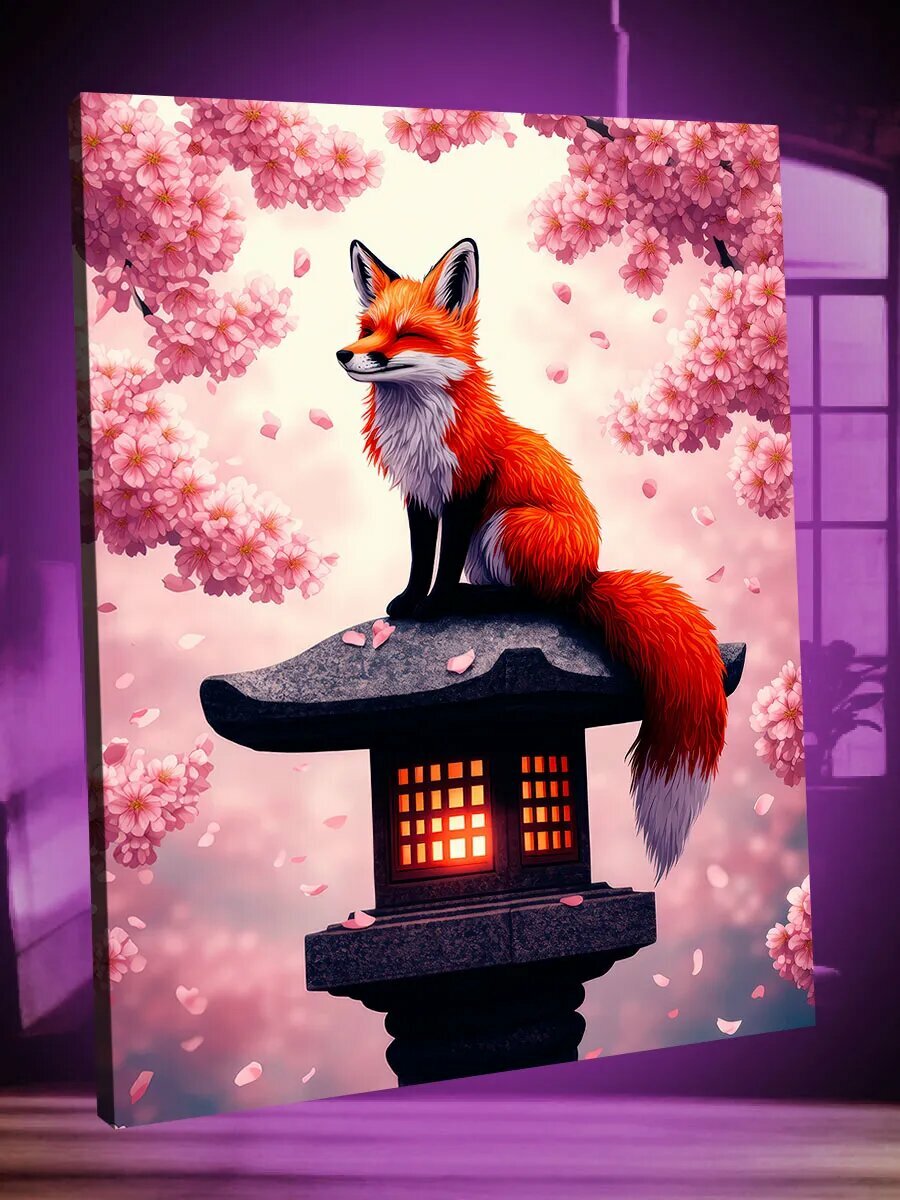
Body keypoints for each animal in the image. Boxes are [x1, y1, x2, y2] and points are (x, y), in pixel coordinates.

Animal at [336, 237, 728, 880]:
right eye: (367, 330)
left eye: (407, 333)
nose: (344, 353)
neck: (419, 424)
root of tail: (588, 574)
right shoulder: (421, 495)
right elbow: (420, 559)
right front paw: (409, 602)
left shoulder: (467, 492)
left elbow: (442, 564)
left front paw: (434, 607)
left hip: (506, 526)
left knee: (538, 598)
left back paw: (476, 599)